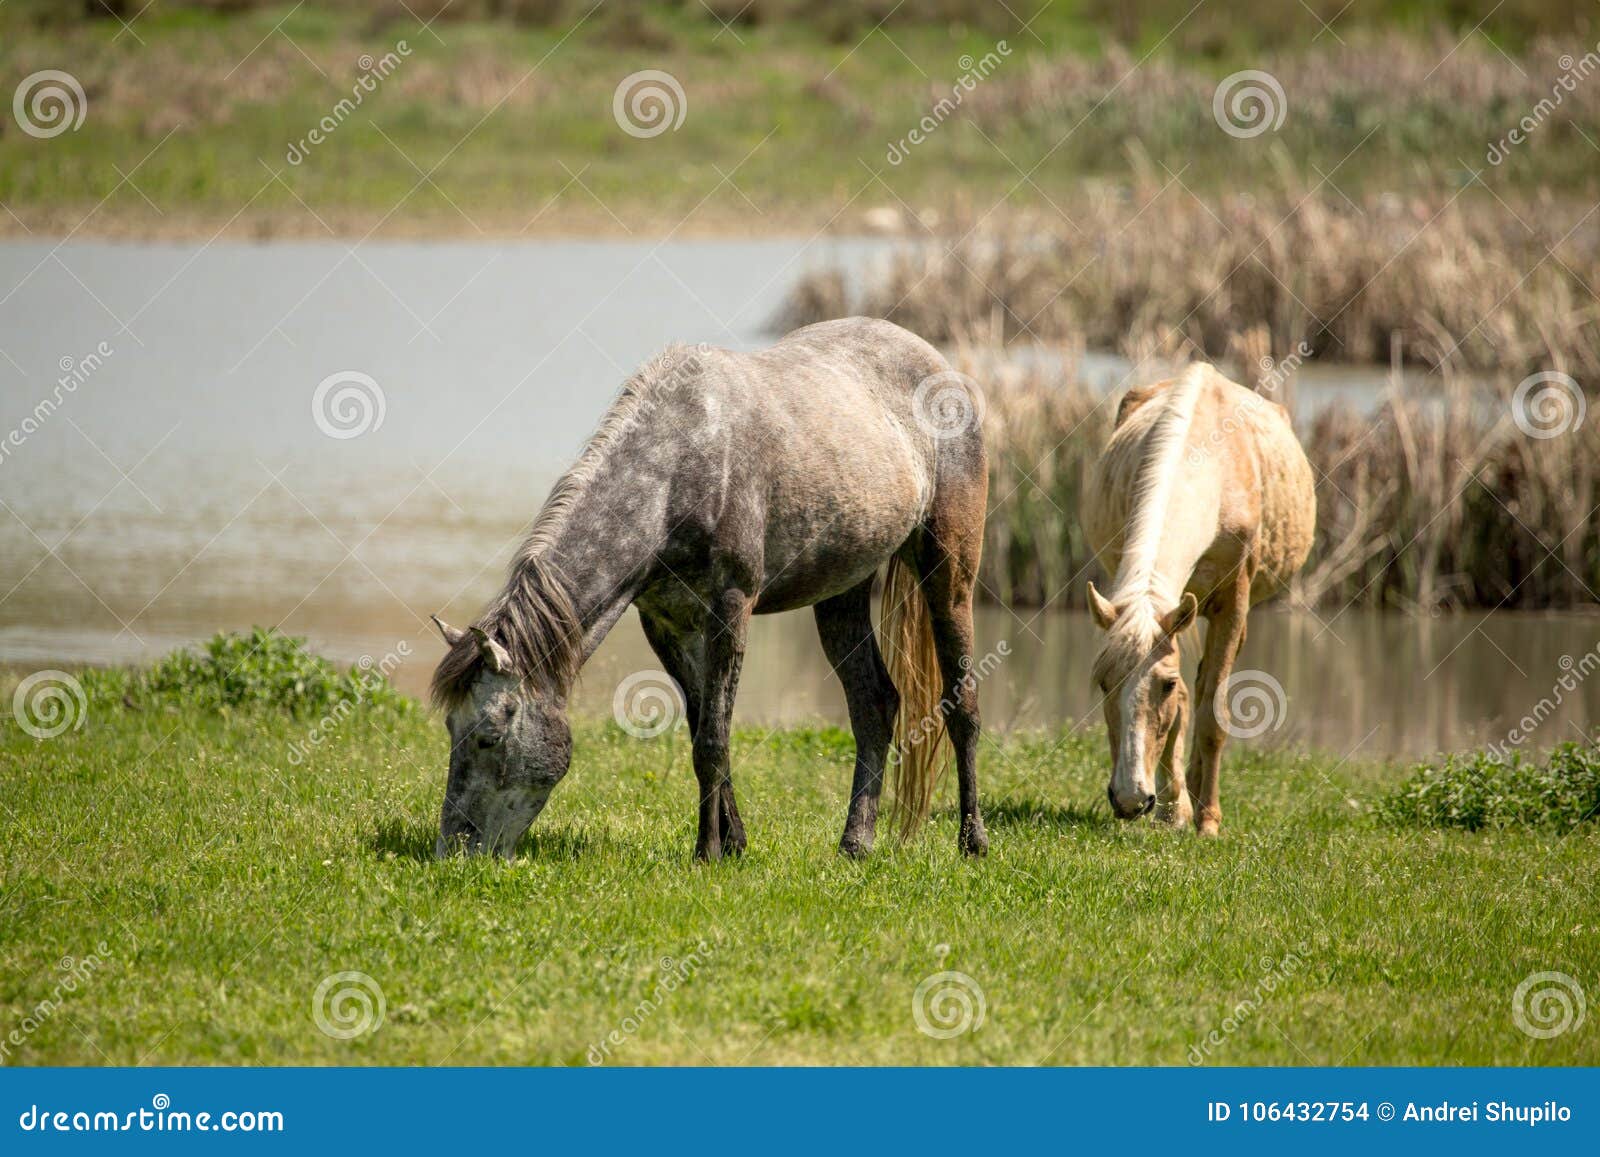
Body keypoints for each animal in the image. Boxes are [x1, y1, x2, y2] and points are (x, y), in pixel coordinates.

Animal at [428, 317, 990, 862]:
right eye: (451, 729)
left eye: (488, 737)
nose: (453, 849)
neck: (677, 470)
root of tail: (939, 366)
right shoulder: (667, 624)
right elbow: (703, 729)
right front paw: (733, 843)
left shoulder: (730, 611)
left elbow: (713, 741)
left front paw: (708, 852)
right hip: (842, 593)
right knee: (874, 705)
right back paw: (855, 843)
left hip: (949, 577)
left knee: (961, 703)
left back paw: (972, 841)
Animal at [1082, 362, 1315, 835]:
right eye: (1102, 682)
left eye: (1165, 683)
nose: (1130, 799)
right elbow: (1187, 706)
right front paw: (1175, 811)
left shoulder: (1233, 604)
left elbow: (1212, 713)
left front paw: (1207, 820)